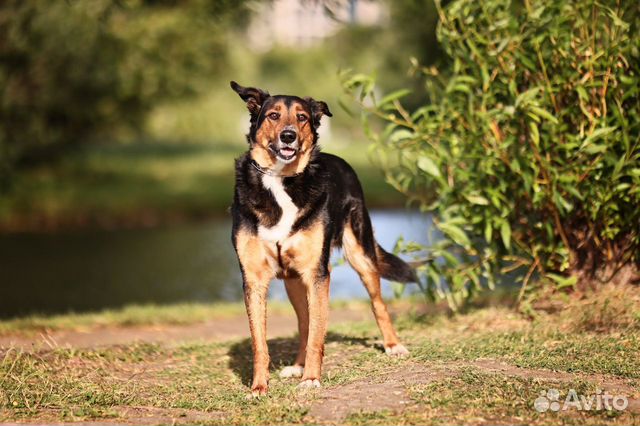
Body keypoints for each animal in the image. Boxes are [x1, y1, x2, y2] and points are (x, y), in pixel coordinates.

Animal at [229, 80, 416, 396]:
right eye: (273, 115)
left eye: (302, 117)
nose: (289, 136)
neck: (281, 179)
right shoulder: (254, 278)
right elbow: (260, 341)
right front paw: (259, 386)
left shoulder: (317, 273)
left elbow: (318, 332)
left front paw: (312, 379)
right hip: (293, 281)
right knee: (303, 322)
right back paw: (297, 365)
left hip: (360, 253)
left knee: (377, 303)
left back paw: (393, 345)